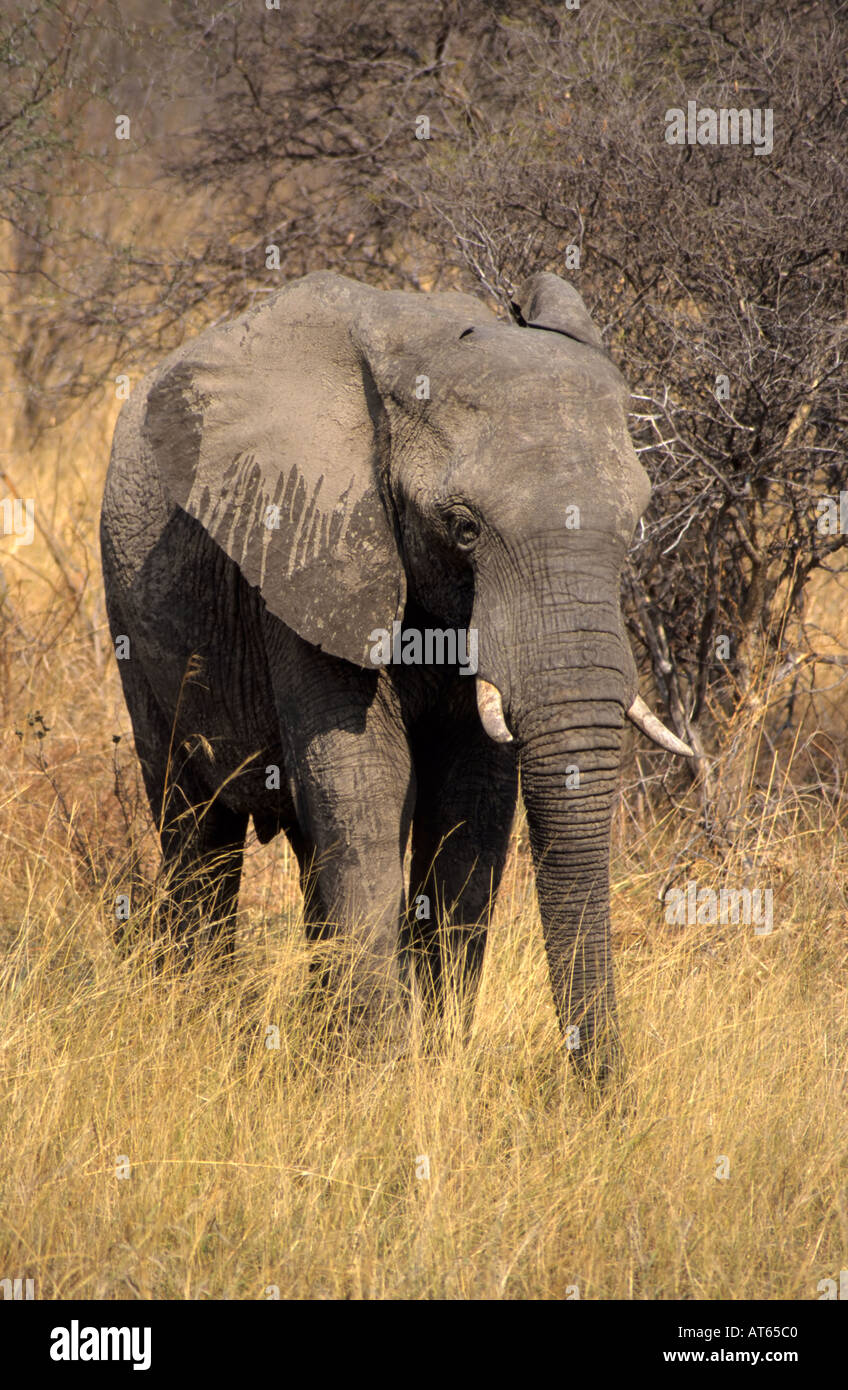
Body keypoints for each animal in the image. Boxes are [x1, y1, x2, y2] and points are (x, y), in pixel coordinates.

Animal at [100, 269, 691, 1083]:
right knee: (194, 821)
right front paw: (376, 1074)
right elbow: (369, 779)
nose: (607, 1094)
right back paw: (197, 1014)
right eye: (464, 527)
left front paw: (432, 1058)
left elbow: (471, 797)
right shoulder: (309, 544)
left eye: (635, 524)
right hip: (130, 601)